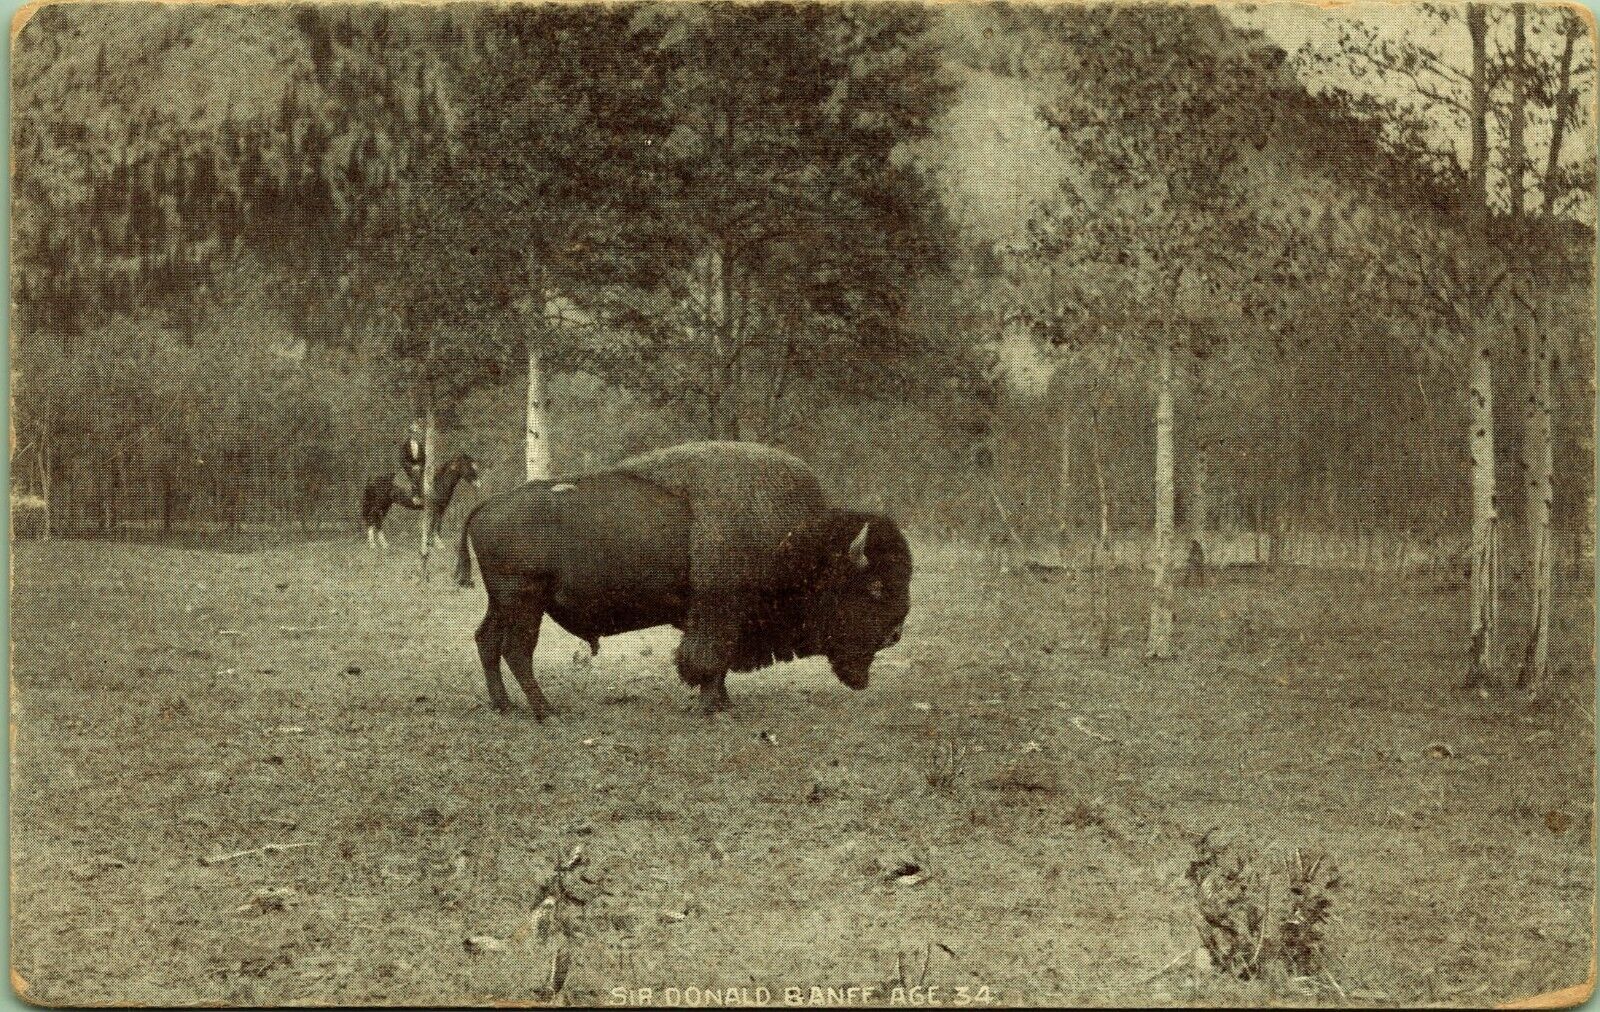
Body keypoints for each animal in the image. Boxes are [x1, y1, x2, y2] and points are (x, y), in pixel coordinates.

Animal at [454, 441, 911, 717]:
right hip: (525, 601)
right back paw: (546, 710)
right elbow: (707, 659)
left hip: (503, 601)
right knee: (516, 650)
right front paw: (711, 707)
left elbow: (720, 662)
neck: (797, 540)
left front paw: (723, 702)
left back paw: (504, 705)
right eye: (874, 586)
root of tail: (486, 506)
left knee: (487, 640)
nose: (895, 634)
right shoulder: (717, 614)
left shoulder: (726, 620)